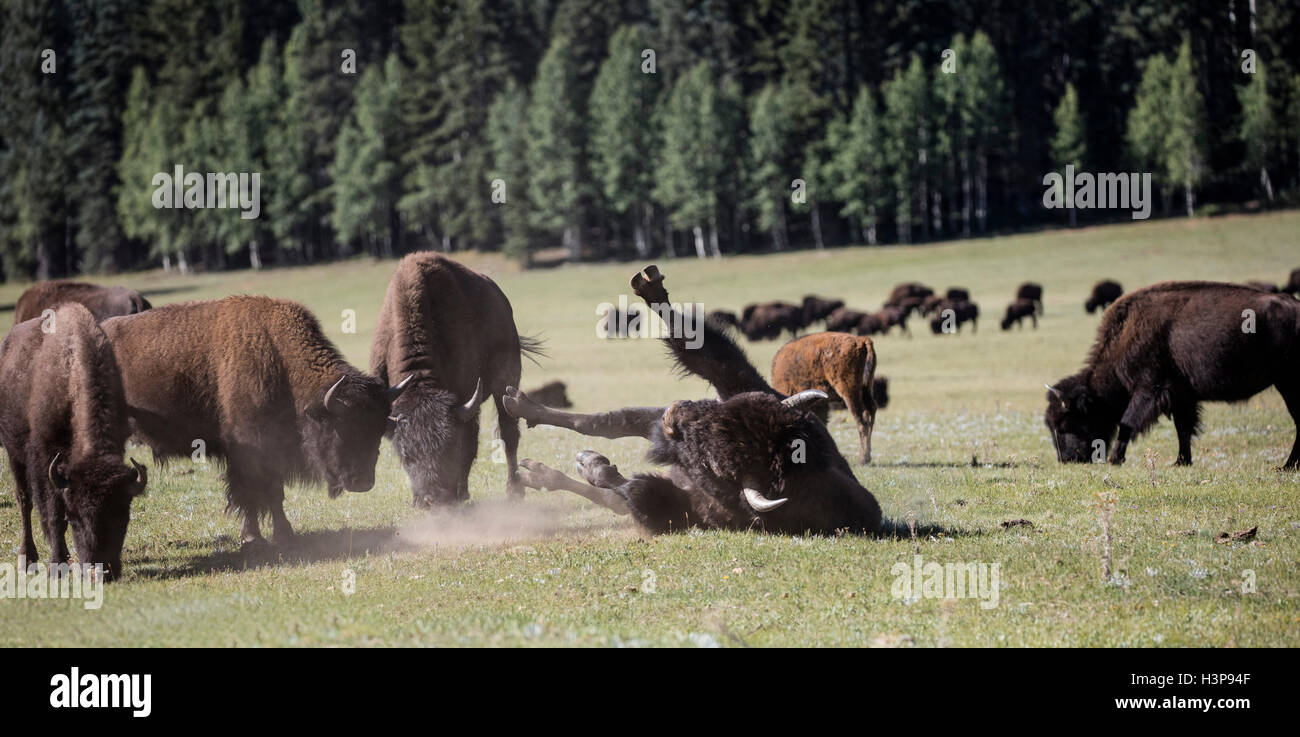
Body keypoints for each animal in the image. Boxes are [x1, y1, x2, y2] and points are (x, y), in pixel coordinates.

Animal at [0, 304, 147, 579]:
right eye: (75, 518)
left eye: (123, 516)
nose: (102, 572)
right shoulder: (46, 461)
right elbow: (53, 514)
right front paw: (56, 565)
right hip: (14, 454)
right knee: (24, 501)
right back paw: (27, 558)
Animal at [102, 296, 408, 546]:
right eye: (340, 427)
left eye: (378, 431)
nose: (362, 482)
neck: (280, 358)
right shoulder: (248, 451)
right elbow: (253, 492)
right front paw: (252, 537)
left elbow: (275, 493)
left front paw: (283, 534)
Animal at [371, 253, 541, 506]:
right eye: (407, 455)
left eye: (448, 449)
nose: (434, 499)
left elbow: (468, 445)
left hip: (505, 383)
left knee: (507, 433)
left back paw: (511, 491)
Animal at [771, 332, 879, 464]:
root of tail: (861, 340)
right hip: (866, 388)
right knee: (871, 411)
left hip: (849, 392)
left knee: (862, 418)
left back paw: (863, 459)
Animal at [1045, 281, 1300, 468]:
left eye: (1066, 423)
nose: (1066, 460)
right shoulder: (1181, 397)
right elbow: (1183, 429)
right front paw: (1181, 462)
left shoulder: (1149, 390)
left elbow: (1128, 422)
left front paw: (1115, 459)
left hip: (1288, 383)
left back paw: (1286, 466)